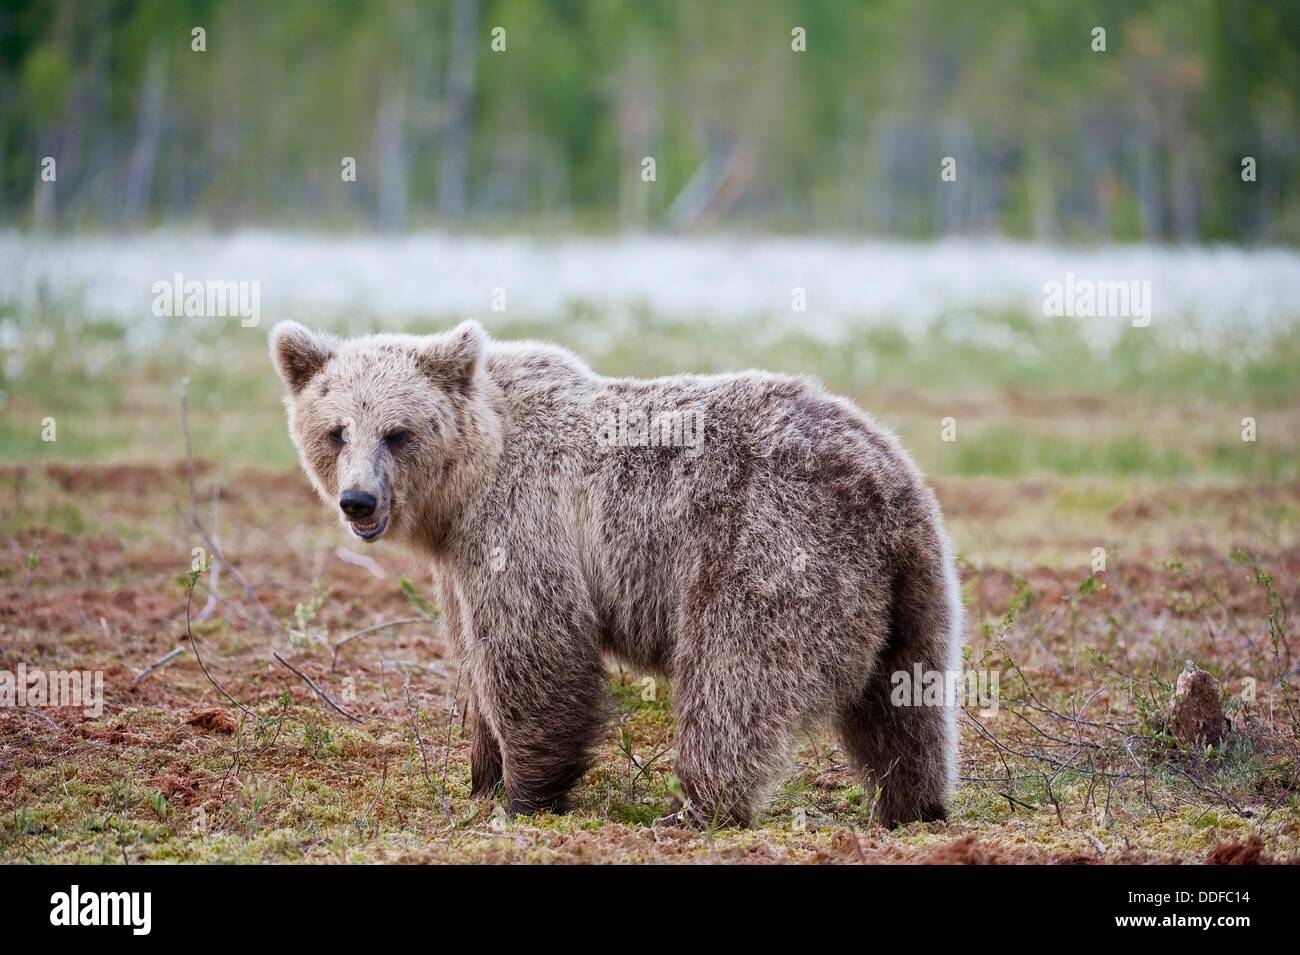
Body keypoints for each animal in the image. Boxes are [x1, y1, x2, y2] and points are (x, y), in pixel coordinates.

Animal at [270, 319, 964, 828]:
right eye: (336, 431)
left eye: (397, 432)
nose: (358, 501)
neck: (468, 484)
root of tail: (887, 479)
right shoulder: (459, 564)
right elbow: (474, 658)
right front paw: (481, 775)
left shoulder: (521, 524)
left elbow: (535, 652)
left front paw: (526, 794)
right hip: (911, 587)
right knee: (905, 703)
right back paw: (912, 805)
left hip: (766, 548)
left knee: (734, 681)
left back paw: (697, 808)